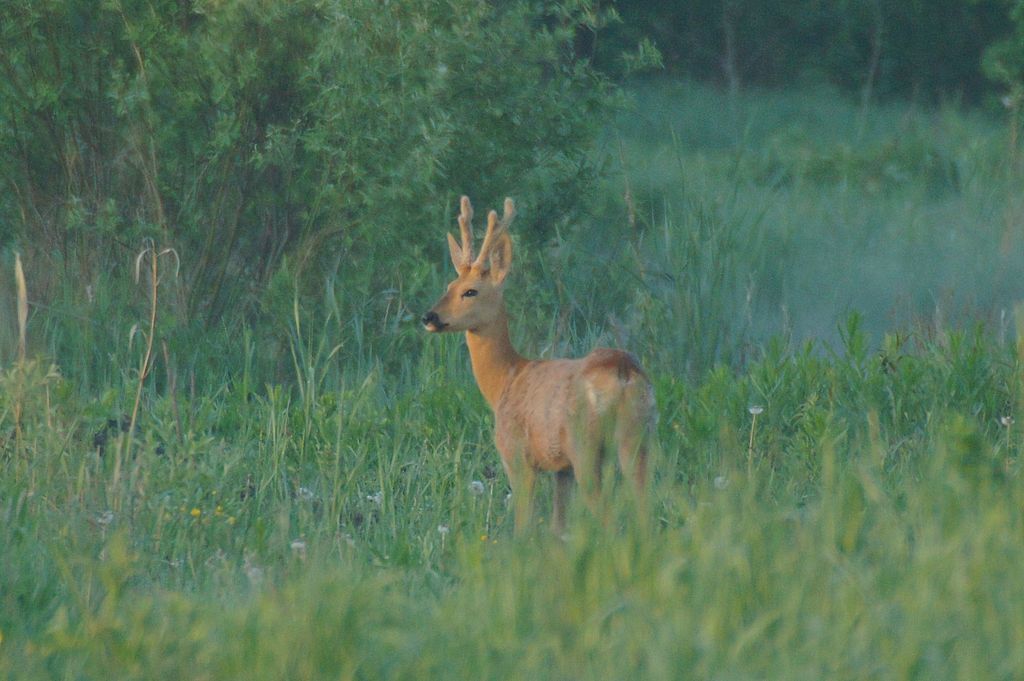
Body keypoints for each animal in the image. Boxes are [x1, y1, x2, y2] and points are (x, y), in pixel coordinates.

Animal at [422, 196, 656, 534]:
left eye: (471, 291)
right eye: (450, 285)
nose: (429, 317)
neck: (504, 379)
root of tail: (623, 371)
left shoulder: (516, 454)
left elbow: (524, 522)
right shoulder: (562, 468)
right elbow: (559, 524)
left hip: (585, 443)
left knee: (604, 510)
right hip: (638, 434)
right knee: (643, 503)